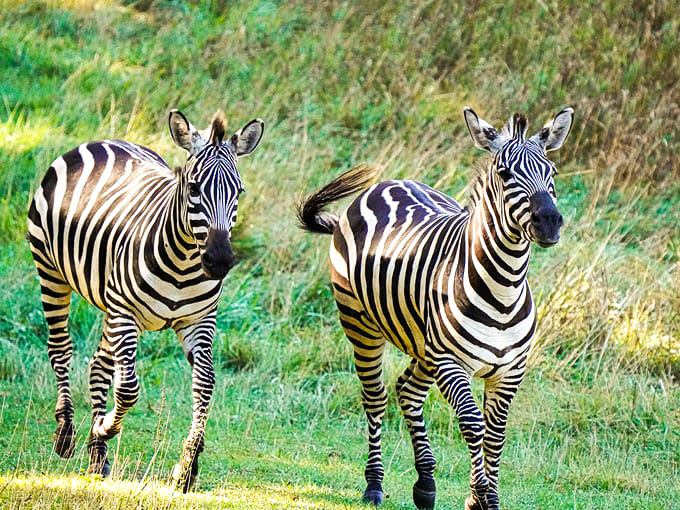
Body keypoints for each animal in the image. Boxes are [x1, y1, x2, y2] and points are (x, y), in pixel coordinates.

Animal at [27, 108, 264, 492]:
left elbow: (205, 383)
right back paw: (66, 432)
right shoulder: (126, 313)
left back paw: (97, 456)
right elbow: (128, 389)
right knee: (60, 347)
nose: (220, 261)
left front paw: (186, 467)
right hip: (52, 271)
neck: (184, 263)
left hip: (109, 305)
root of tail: (105, 140)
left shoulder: (198, 321)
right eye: (194, 188)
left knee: (98, 364)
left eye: (239, 191)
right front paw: (105, 426)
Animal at [297, 106, 573, 510]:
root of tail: (387, 183)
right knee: (376, 398)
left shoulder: (510, 371)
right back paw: (374, 485)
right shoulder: (451, 362)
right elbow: (474, 426)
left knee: (408, 390)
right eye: (505, 174)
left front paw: (484, 498)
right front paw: (480, 498)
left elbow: (495, 435)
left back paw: (426, 485)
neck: (504, 287)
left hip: (423, 346)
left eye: (552, 172)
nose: (550, 222)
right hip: (361, 325)